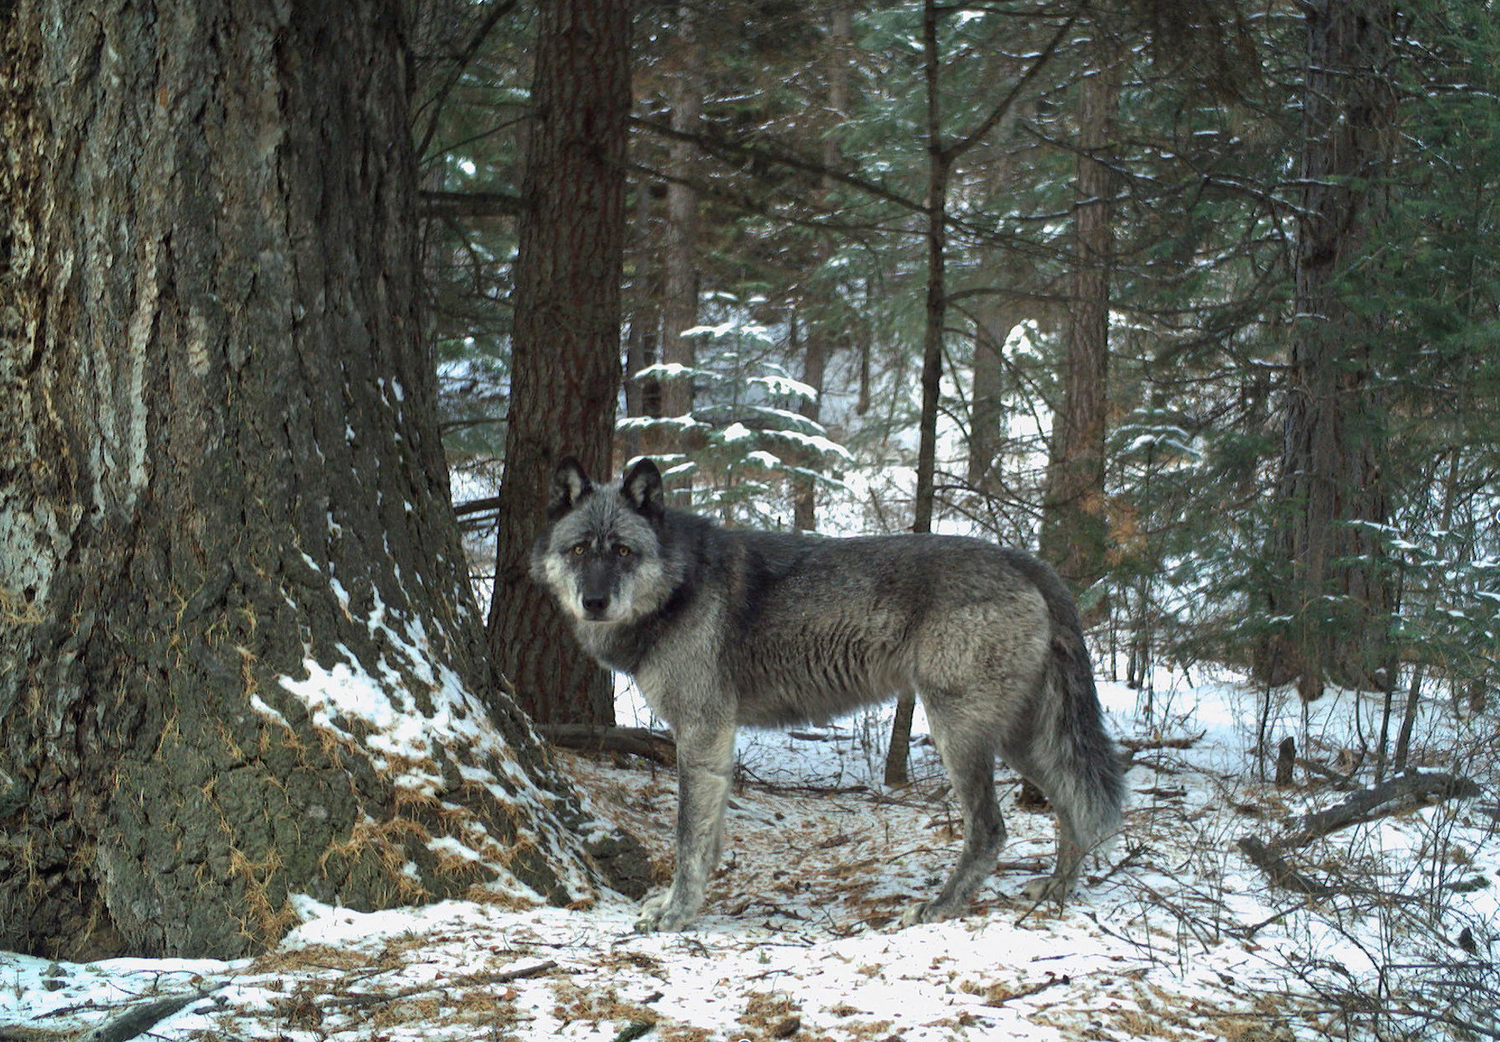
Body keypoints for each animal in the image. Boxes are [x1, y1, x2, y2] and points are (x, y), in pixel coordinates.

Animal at [531, 456, 1124, 933]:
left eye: (623, 551)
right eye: (579, 549)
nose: (594, 602)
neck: (680, 585)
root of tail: (1029, 563)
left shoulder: (701, 733)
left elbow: (687, 839)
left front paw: (677, 915)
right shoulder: (713, 742)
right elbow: (709, 836)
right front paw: (682, 903)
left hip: (960, 736)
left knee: (991, 831)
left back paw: (939, 909)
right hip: (1022, 741)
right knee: (1073, 807)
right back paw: (1056, 892)